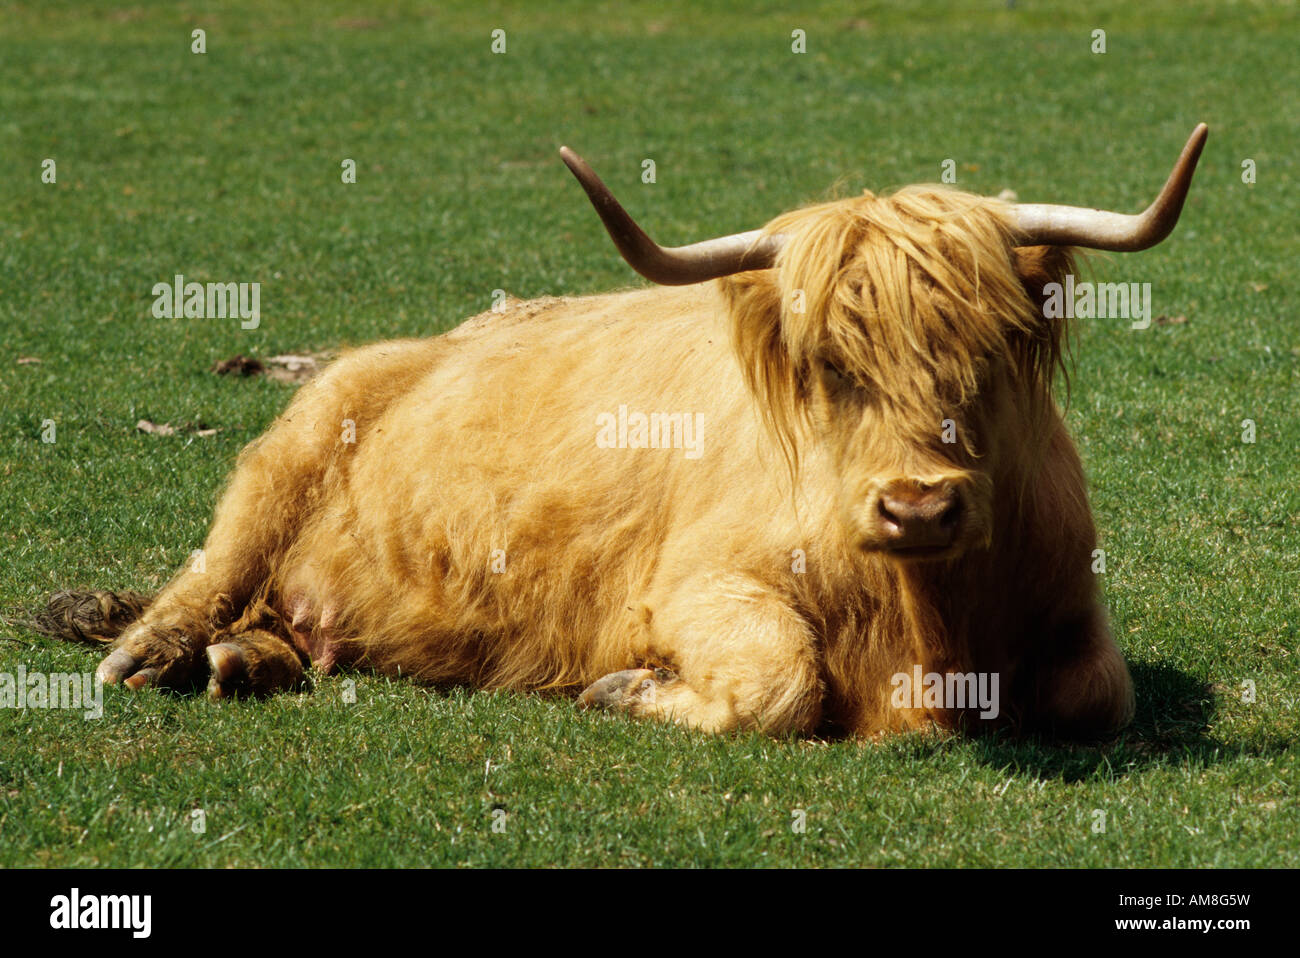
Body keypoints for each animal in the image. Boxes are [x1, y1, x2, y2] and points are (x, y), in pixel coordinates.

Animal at [38, 125, 1207, 739]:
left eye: (994, 344)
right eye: (825, 363)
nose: (916, 504)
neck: (931, 627)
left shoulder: (1077, 616)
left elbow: (1098, 693)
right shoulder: (692, 585)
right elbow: (781, 678)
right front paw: (626, 686)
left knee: (273, 619)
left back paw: (248, 661)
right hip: (287, 451)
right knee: (208, 572)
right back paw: (147, 652)